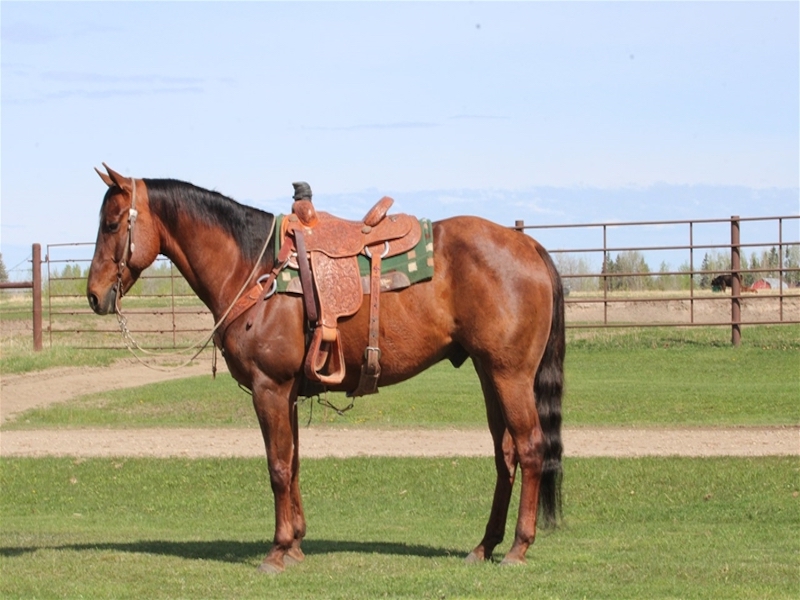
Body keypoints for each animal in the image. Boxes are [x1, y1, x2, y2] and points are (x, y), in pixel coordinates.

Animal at [86, 164, 565, 573]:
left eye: (111, 224)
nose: (93, 295)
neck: (255, 270)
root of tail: (528, 245)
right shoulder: (289, 394)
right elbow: (294, 463)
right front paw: (296, 544)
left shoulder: (270, 388)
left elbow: (278, 467)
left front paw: (277, 550)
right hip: (489, 374)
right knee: (505, 455)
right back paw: (485, 545)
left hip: (510, 375)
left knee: (530, 449)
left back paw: (518, 547)